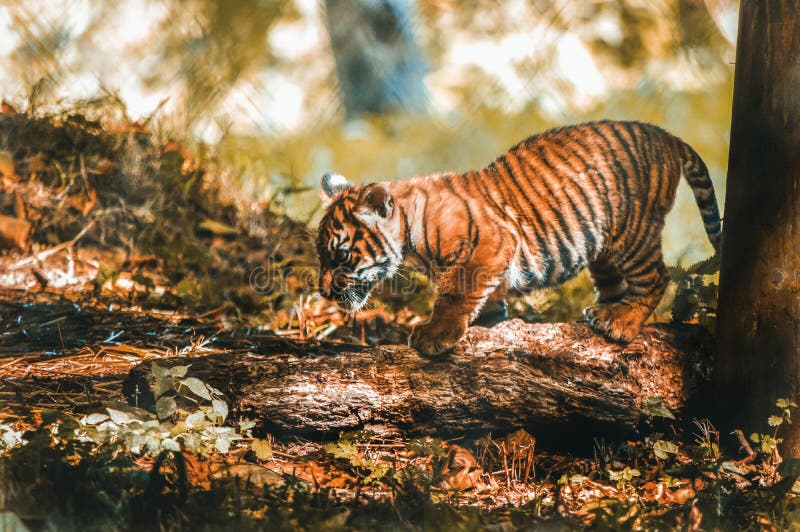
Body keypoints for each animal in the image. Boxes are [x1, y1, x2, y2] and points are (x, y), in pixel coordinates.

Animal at [316, 120, 722, 356]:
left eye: (342, 256)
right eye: (321, 257)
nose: (323, 291)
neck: (411, 237)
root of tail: (667, 136)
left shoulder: (491, 244)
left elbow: (455, 291)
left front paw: (436, 334)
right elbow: (484, 299)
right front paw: (487, 324)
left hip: (632, 231)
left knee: (656, 278)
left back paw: (620, 321)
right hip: (604, 250)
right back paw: (603, 312)